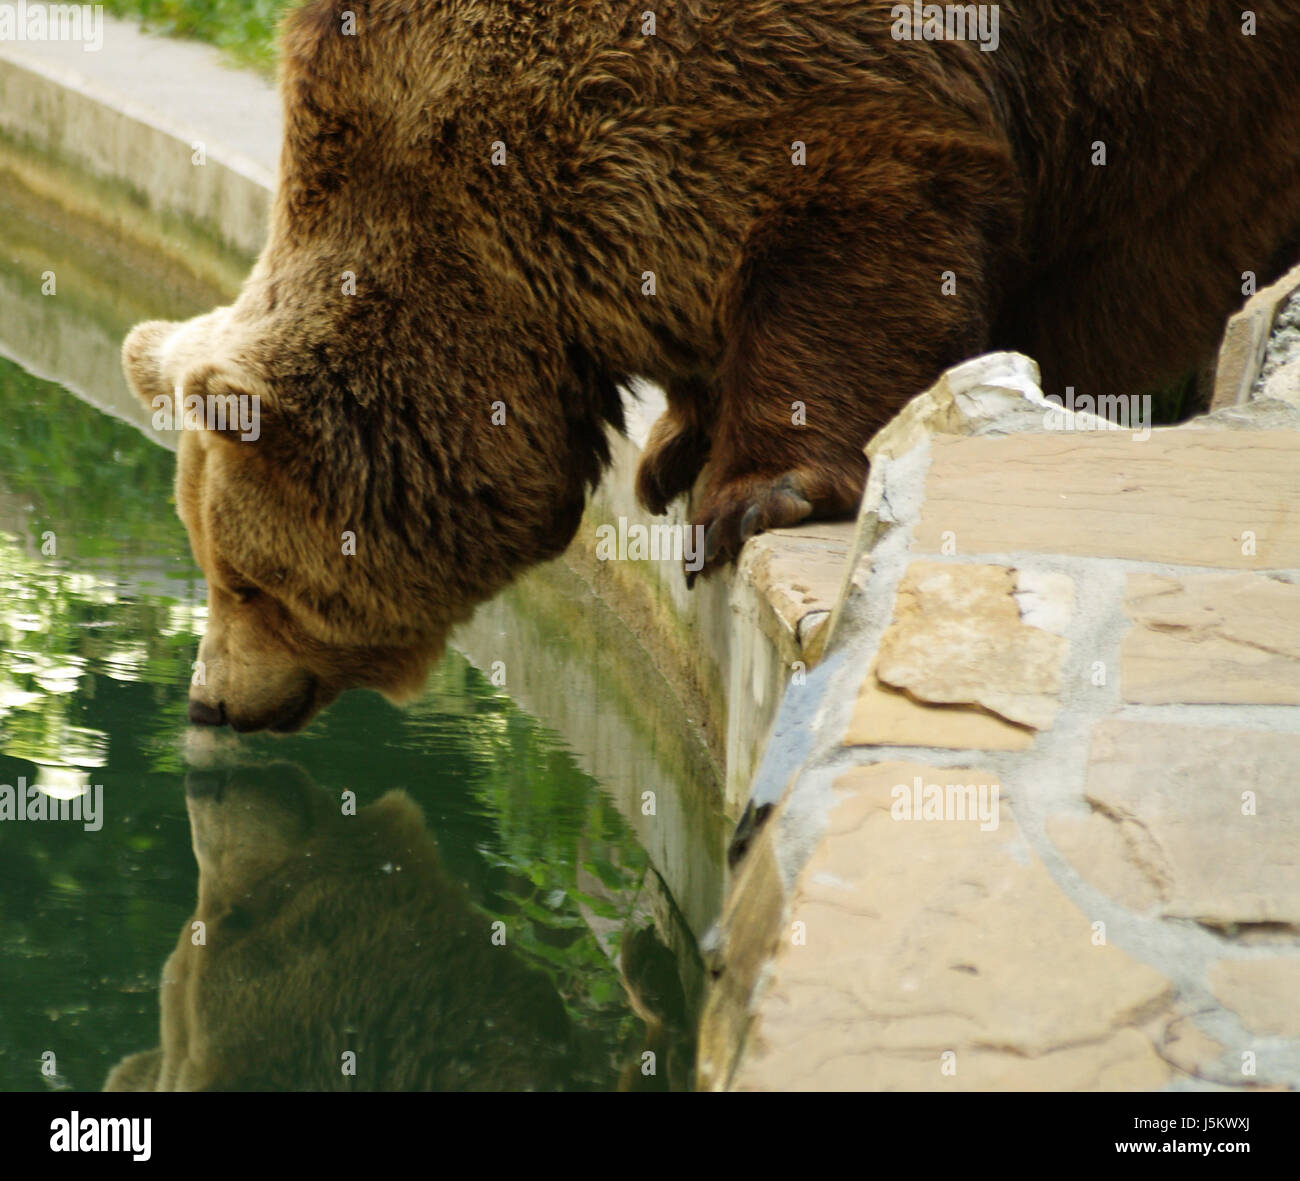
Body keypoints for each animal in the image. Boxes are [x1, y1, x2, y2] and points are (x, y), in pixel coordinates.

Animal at [121, 0, 1300, 732]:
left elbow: (854, 235)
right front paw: (673, 451)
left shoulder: (796, 86)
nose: (210, 700)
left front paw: (757, 493)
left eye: (244, 579)